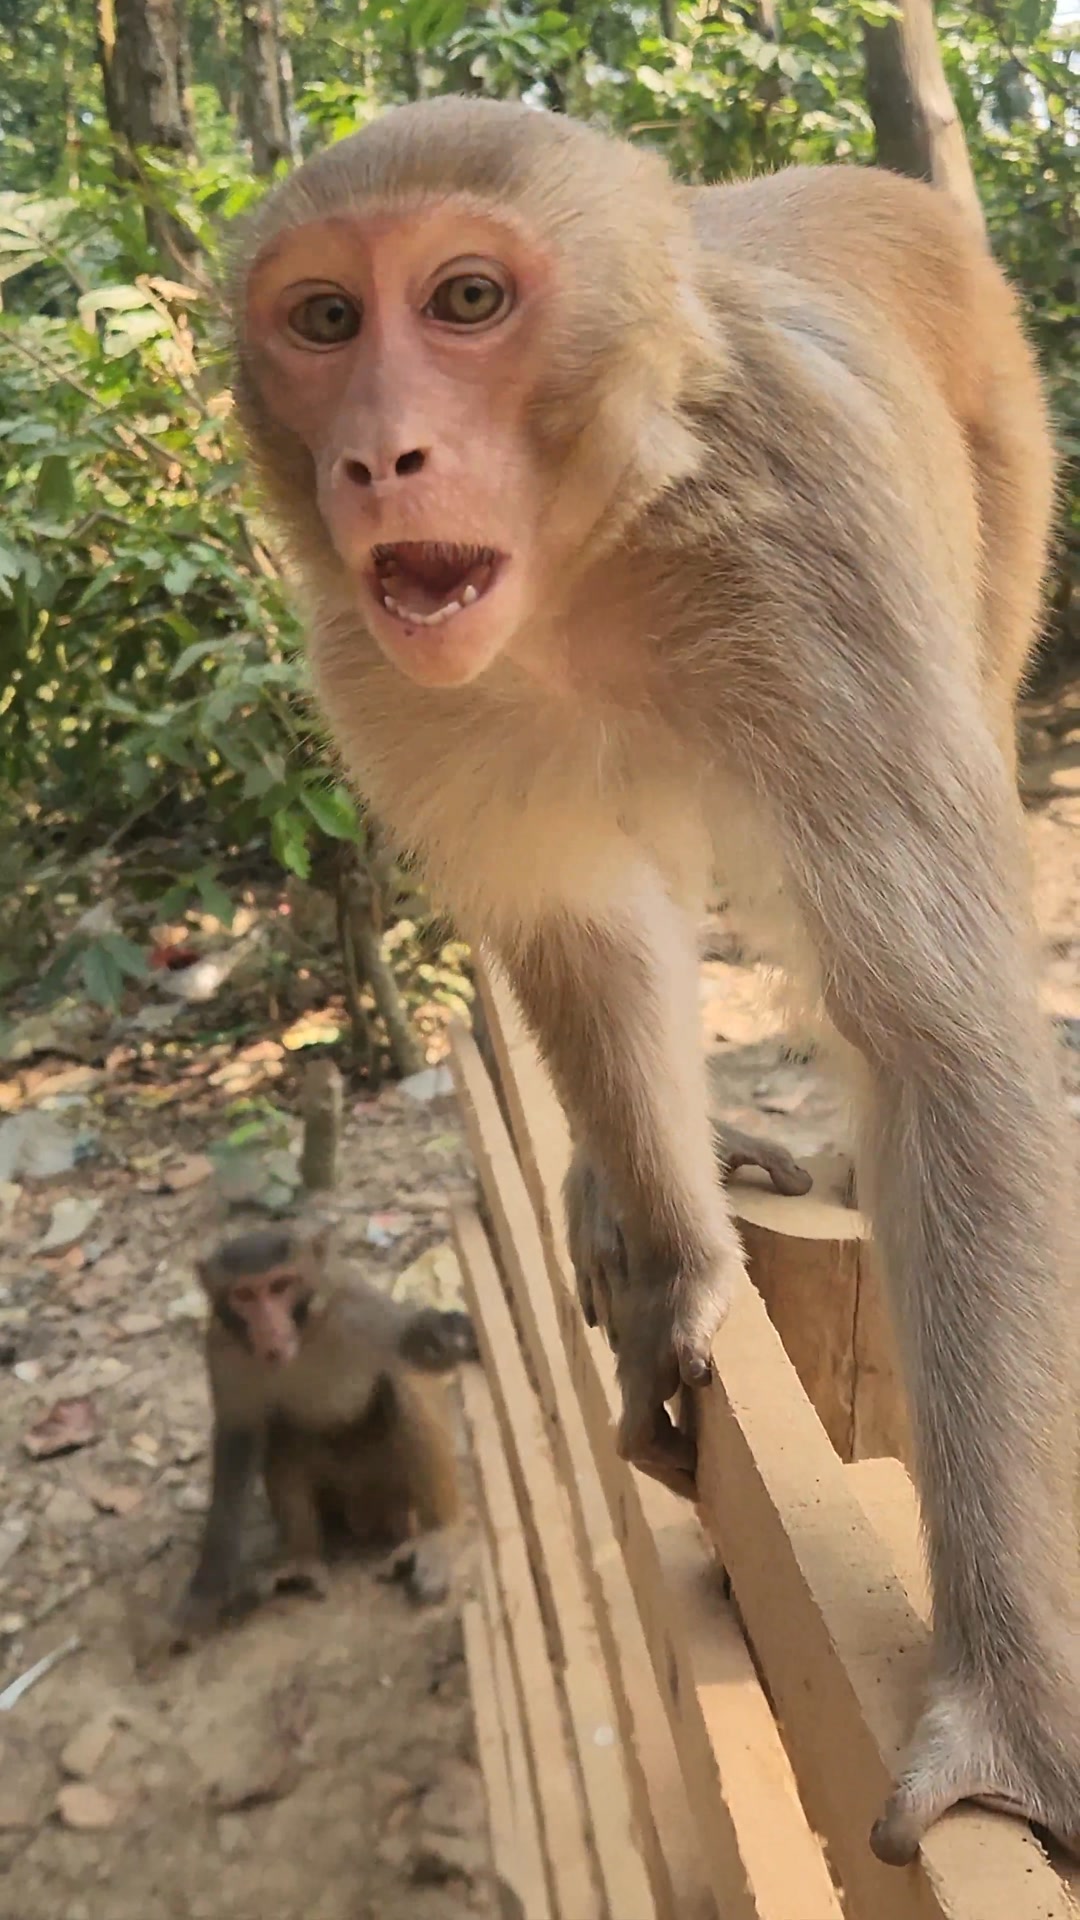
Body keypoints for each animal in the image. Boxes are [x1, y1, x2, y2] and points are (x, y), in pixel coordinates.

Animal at [176, 1223, 473, 1637]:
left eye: (280, 1286)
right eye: (245, 1295)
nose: (269, 1328)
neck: (305, 1337)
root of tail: (366, 1512)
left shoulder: (357, 1312)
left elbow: (415, 1352)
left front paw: (445, 1332)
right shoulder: (222, 1347)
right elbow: (238, 1436)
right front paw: (207, 1588)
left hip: (394, 1487)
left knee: (401, 1379)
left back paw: (437, 1535)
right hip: (336, 1498)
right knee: (281, 1429)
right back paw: (302, 1557)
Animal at [228, 97, 1079, 1863]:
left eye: (467, 301)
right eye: (325, 319)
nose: (378, 456)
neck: (585, 556)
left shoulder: (803, 549)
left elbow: (944, 1048)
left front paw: (1008, 1719)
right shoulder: (376, 658)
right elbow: (578, 928)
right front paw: (680, 1264)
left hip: (1005, 467)